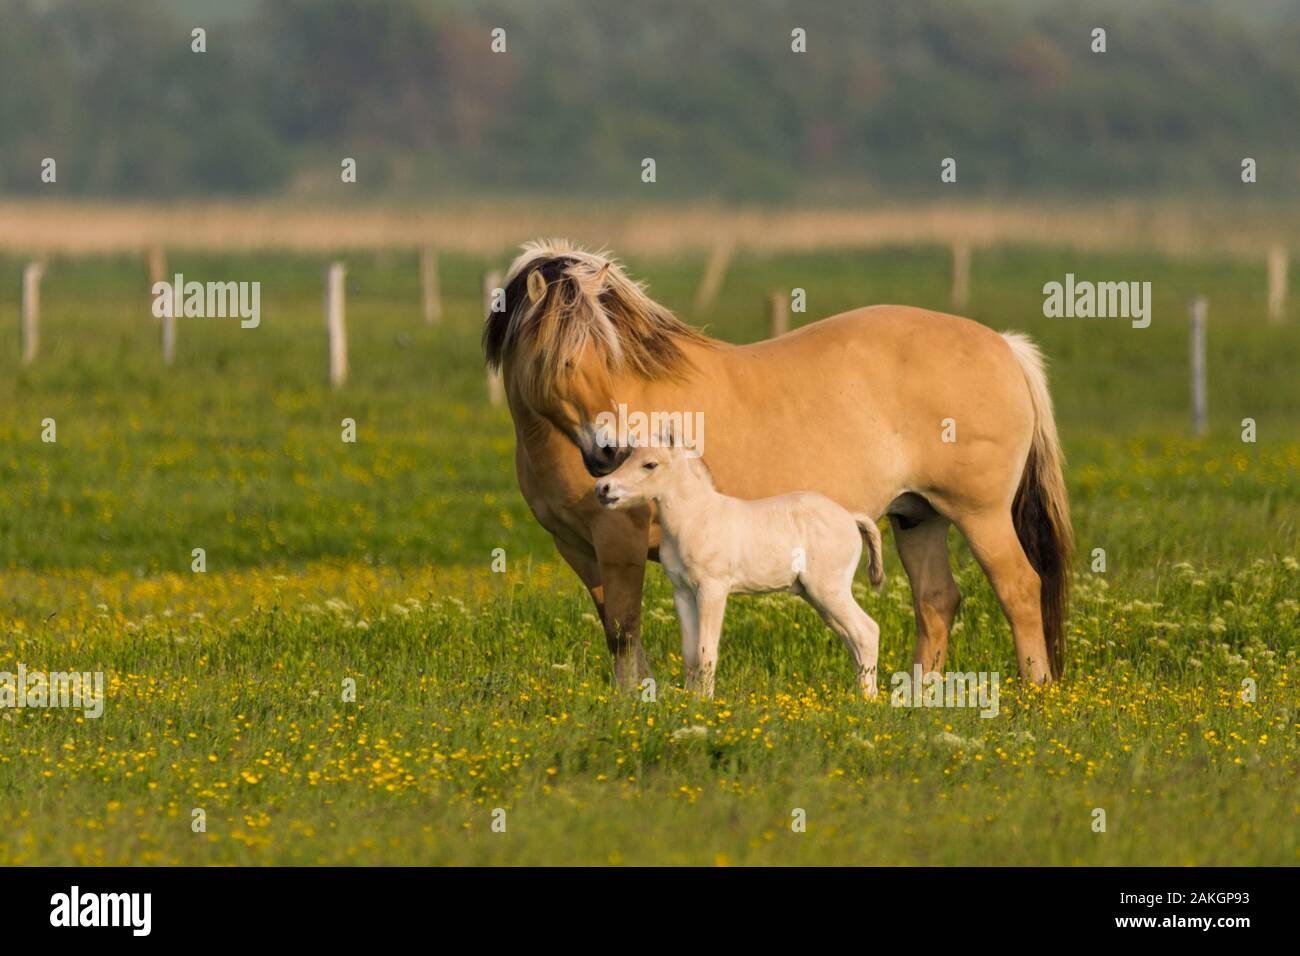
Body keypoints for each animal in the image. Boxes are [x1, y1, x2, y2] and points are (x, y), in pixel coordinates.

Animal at [595, 425, 887, 698]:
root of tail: (850, 517)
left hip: (828, 590)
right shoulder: (683, 592)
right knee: (852, 638)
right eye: (626, 458)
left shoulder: (712, 589)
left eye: (650, 464)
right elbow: (690, 653)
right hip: (816, 596)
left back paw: (867, 700)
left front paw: (705, 702)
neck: (695, 517)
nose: (602, 488)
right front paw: (690, 701)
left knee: (867, 631)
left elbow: (706, 650)